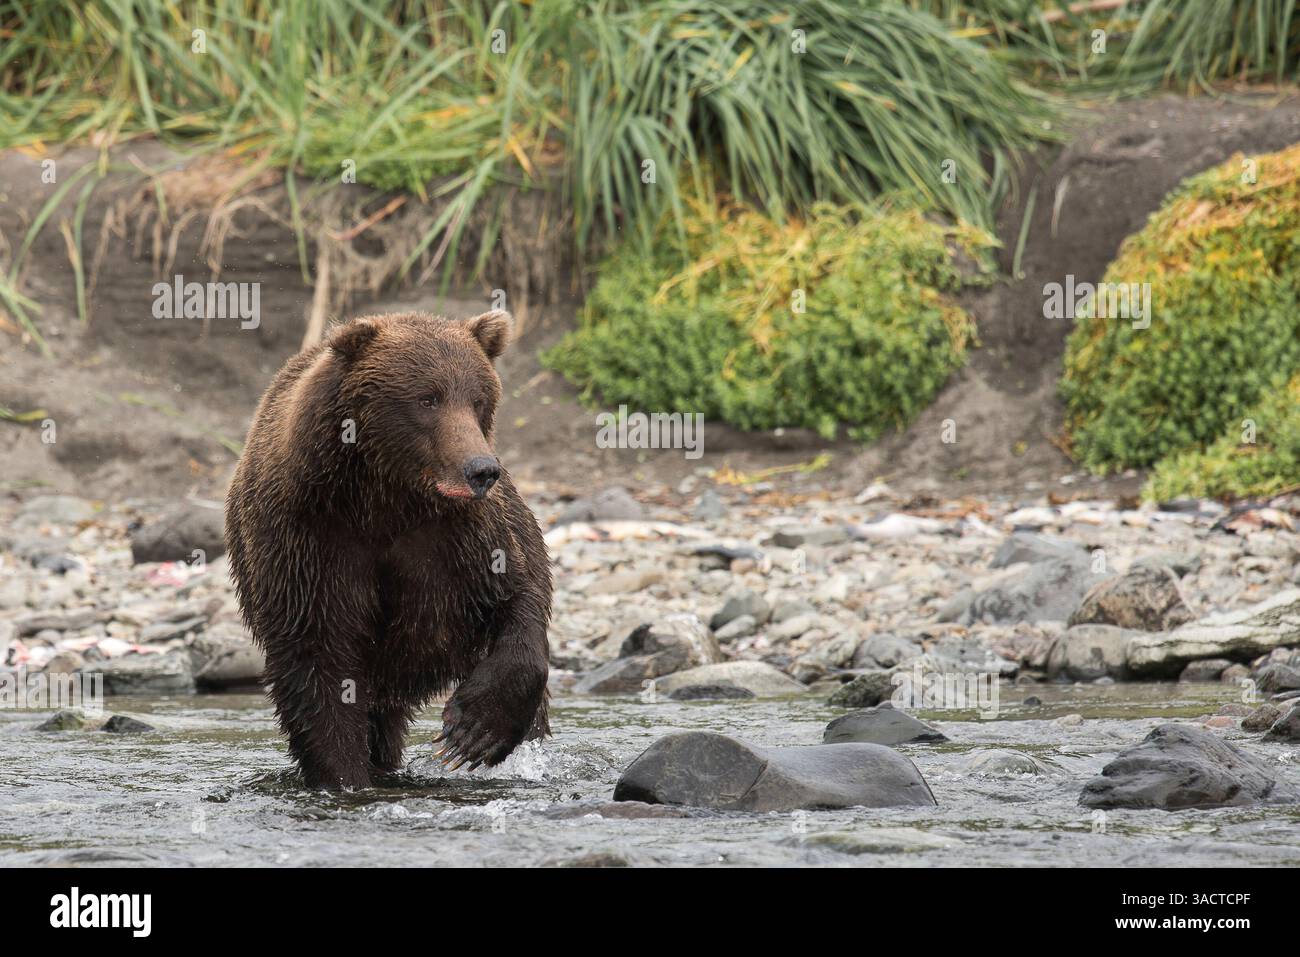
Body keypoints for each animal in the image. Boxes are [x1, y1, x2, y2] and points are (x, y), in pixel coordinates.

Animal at [224, 310, 551, 789]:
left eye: (477, 399)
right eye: (427, 398)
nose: (481, 469)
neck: (385, 500)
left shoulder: (467, 536)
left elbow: (519, 593)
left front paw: (472, 731)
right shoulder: (307, 539)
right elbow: (319, 664)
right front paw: (344, 775)